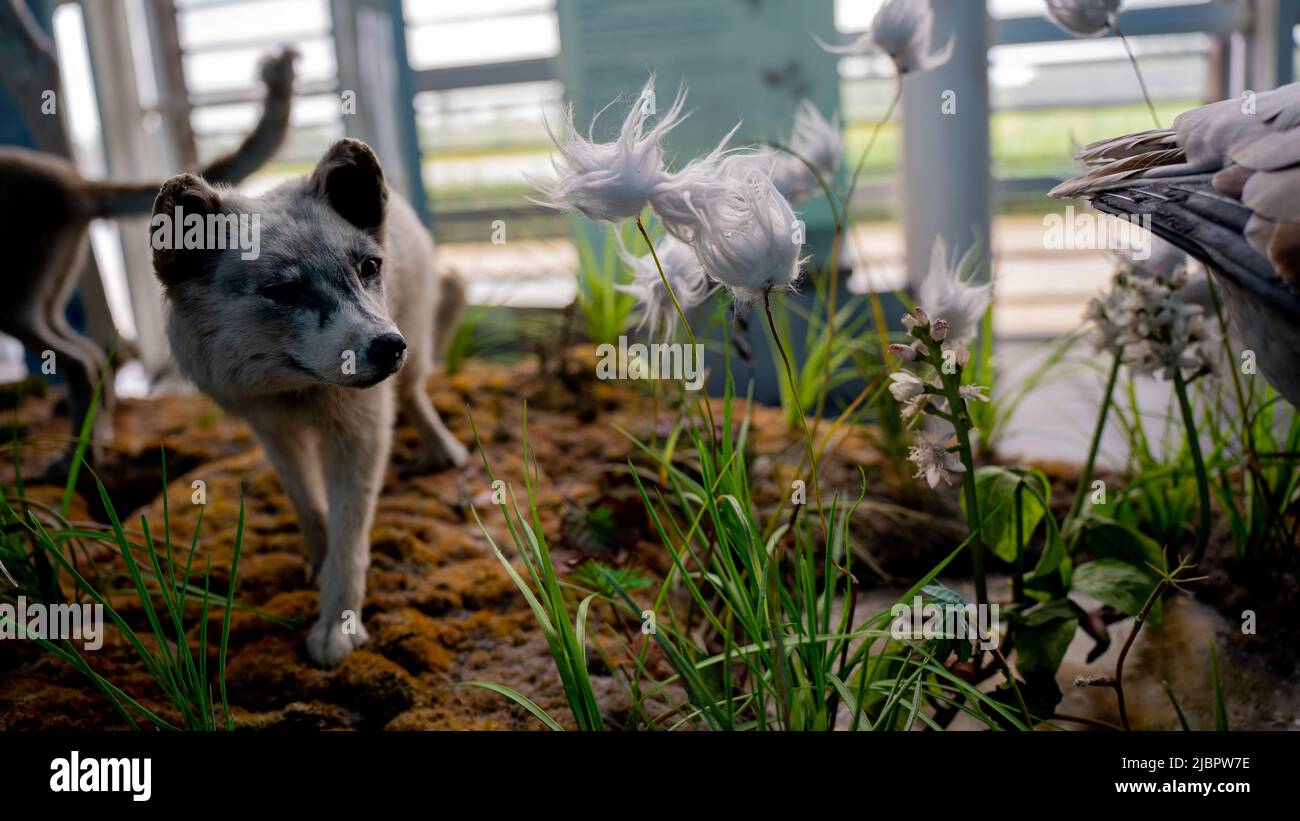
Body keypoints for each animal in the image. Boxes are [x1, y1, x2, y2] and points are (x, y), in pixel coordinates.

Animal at [0, 49, 298, 463]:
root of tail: (73, 180)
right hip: (43, 294)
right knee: (93, 356)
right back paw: (91, 441)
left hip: (15, 300)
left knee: (81, 361)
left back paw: (79, 457)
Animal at [150, 138, 469, 667]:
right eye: (284, 290)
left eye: (368, 268)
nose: (388, 346)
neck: (295, 390)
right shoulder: (271, 430)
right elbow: (308, 507)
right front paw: (317, 564)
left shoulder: (359, 434)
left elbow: (349, 539)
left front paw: (338, 624)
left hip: (418, 349)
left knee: (414, 394)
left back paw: (443, 450)